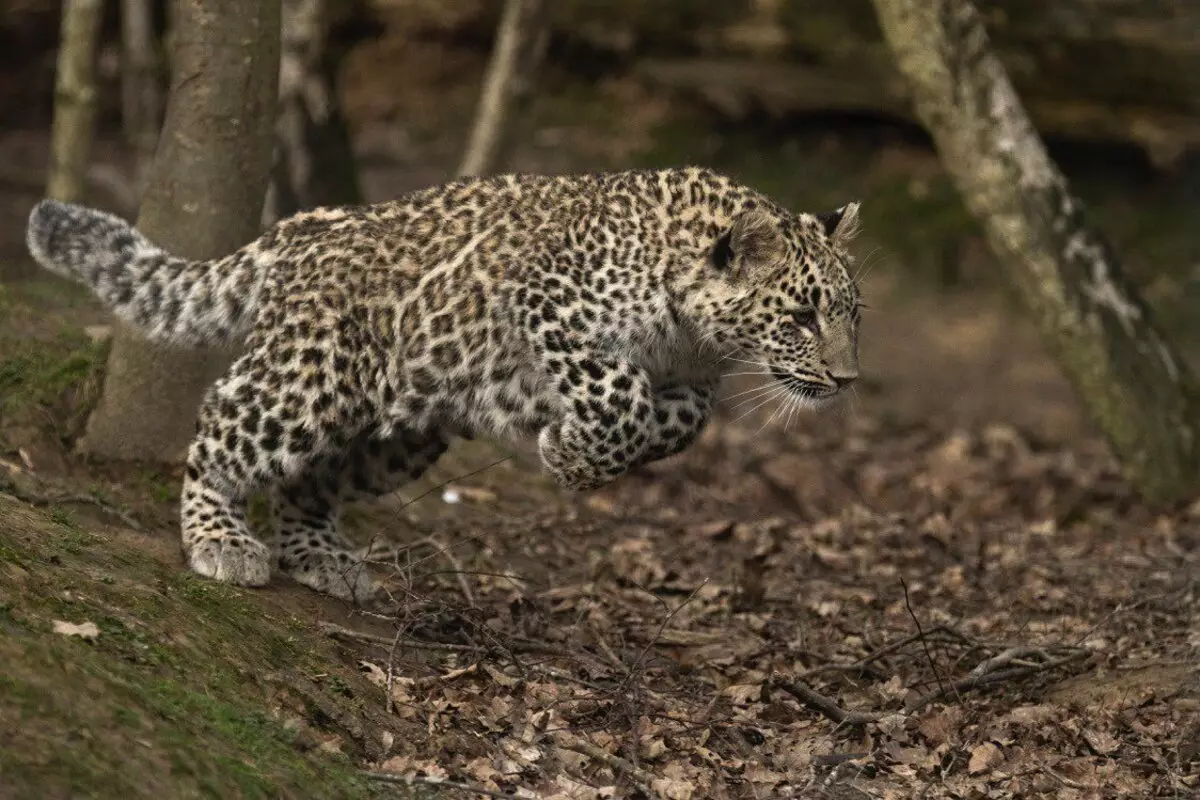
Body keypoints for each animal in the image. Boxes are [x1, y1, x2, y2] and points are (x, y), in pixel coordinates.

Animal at [25, 169, 864, 606]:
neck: (693, 334)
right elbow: (617, 393)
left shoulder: (690, 381)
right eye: (801, 315)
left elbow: (672, 423)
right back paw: (219, 538)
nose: (847, 378)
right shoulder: (543, 299)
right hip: (310, 381)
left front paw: (579, 451)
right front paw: (565, 448)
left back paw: (320, 556)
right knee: (222, 419)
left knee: (310, 482)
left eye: (853, 316)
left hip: (399, 436)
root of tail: (305, 224)